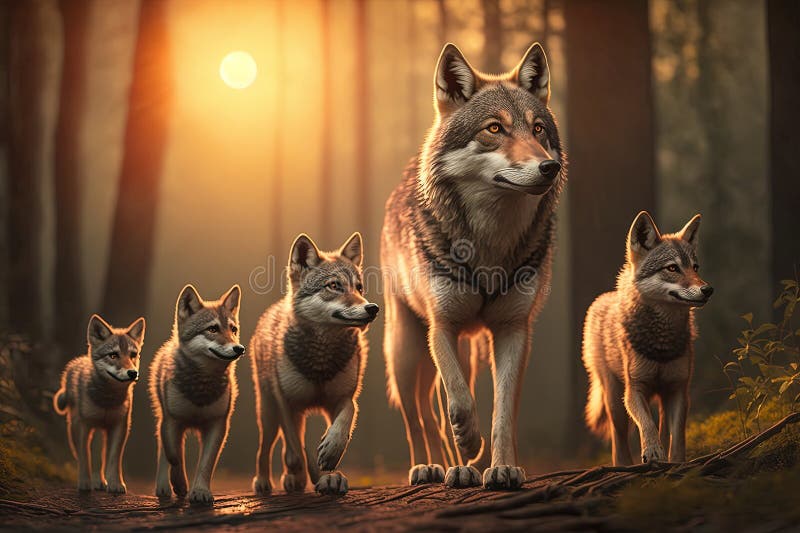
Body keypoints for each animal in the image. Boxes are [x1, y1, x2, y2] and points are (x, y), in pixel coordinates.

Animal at [54, 314, 145, 493]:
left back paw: (100, 481)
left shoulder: (119, 427)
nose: (133, 373)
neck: (107, 400)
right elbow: (85, 457)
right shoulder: (82, 426)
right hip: (79, 428)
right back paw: (95, 481)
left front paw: (115, 484)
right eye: (113, 355)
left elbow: (113, 460)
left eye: (132, 355)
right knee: (85, 455)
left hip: (101, 430)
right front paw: (84, 483)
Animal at [149, 284, 244, 504]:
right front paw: (180, 485)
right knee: (163, 452)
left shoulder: (217, 425)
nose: (239, 348)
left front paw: (200, 491)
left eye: (233, 330)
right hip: (163, 420)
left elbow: (205, 465)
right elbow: (174, 456)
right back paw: (163, 487)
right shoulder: (173, 422)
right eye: (212, 329)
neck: (202, 386)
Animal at [250, 232, 378, 496]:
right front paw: (317, 477)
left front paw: (330, 464)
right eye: (334, 285)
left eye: (359, 288)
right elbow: (301, 450)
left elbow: (347, 417)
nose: (372, 308)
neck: (321, 357)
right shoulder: (288, 405)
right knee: (268, 447)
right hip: (268, 410)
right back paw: (266, 481)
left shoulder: (343, 398)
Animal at [381, 42, 565, 490]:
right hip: (405, 349)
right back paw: (430, 467)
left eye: (538, 129)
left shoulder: (514, 331)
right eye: (494, 129)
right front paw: (467, 440)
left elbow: (502, 411)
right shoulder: (442, 326)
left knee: (435, 405)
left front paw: (500, 467)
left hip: (469, 348)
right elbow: (459, 401)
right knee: (419, 415)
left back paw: (463, 467)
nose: (548, 167)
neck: (491, 247)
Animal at [583, 211, 713, 465]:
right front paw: (652, 451)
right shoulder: (634, 390)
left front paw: (676, 463)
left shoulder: (678, 390)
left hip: (661, 397)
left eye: (695, 267)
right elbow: (647, 425)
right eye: (672, 268)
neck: (661, 342)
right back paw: (623, 465)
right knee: (619, 440)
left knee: (662, 427)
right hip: (614, 401)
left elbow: (677, 437)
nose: (708, 290)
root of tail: (600, 300)